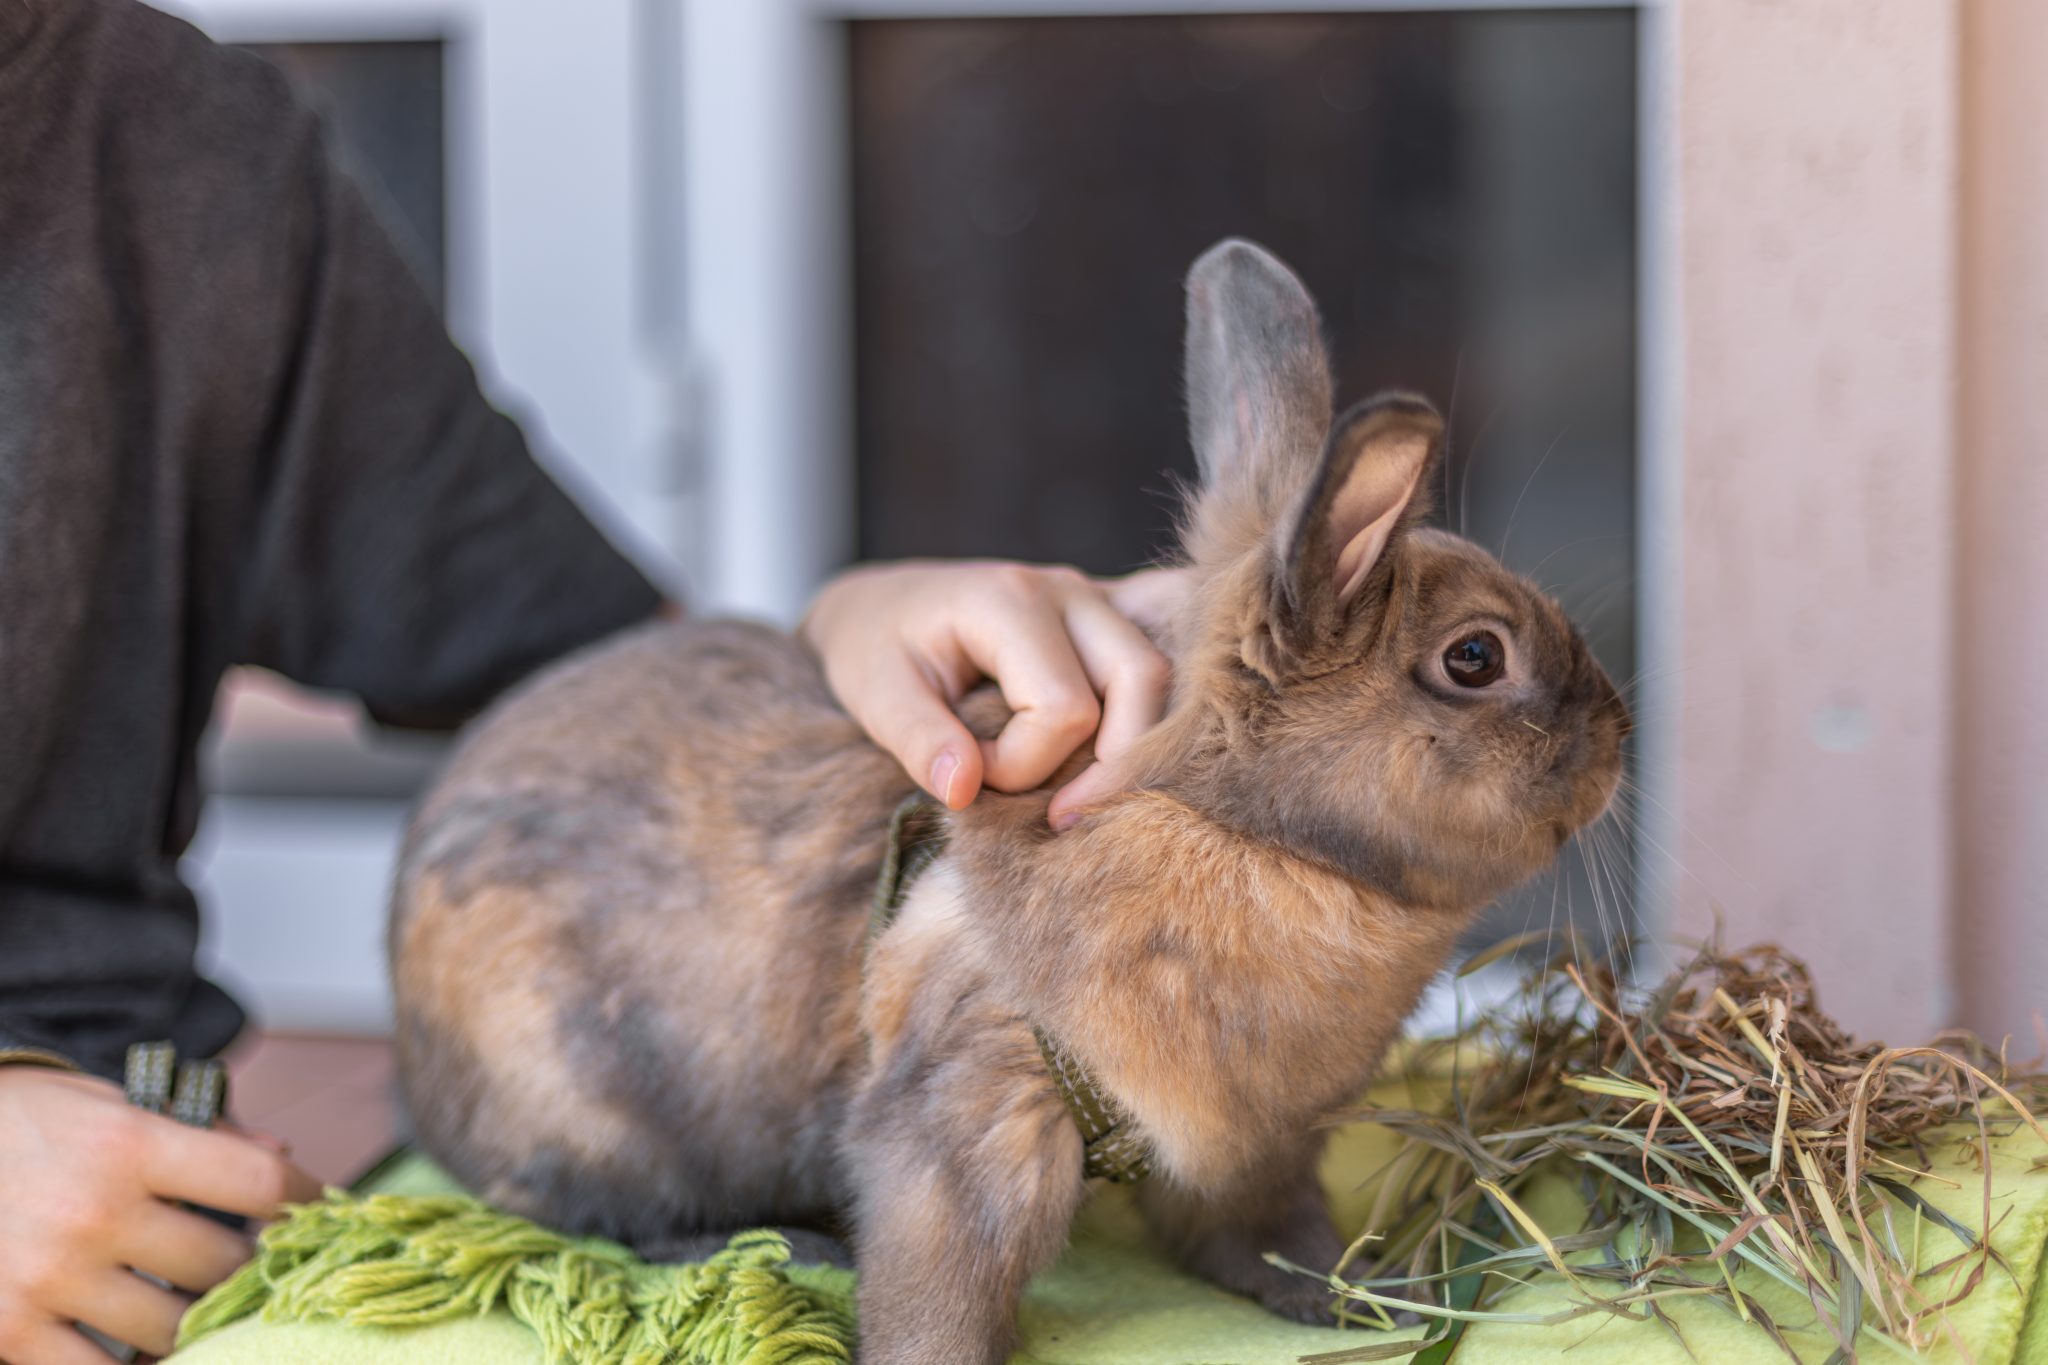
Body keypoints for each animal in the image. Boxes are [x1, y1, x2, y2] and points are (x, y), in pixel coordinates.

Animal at [390, 238, 1629, 1365]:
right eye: (1473, 658)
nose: (1619, 735)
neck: (1234, 833)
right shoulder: (965, 1129)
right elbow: (939, 1302)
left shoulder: (1254, 1152)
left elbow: (1262, 1240)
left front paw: (1358, 1299)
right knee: (595, 1221)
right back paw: (781, 1246)